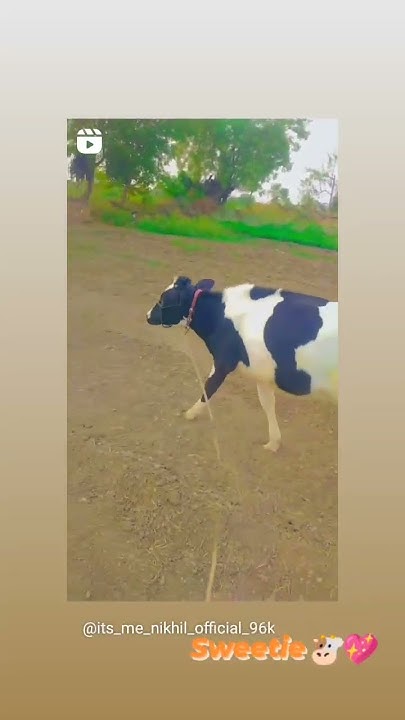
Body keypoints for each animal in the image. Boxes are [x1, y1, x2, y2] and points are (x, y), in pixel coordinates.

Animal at [146, 275, 338, 451]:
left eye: (163, 299)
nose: (147, 315)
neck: (219, 316)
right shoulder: (262, 372)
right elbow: (267, 404)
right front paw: (273, 442)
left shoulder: (223, 361)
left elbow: (208, 389)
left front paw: (190, 414)